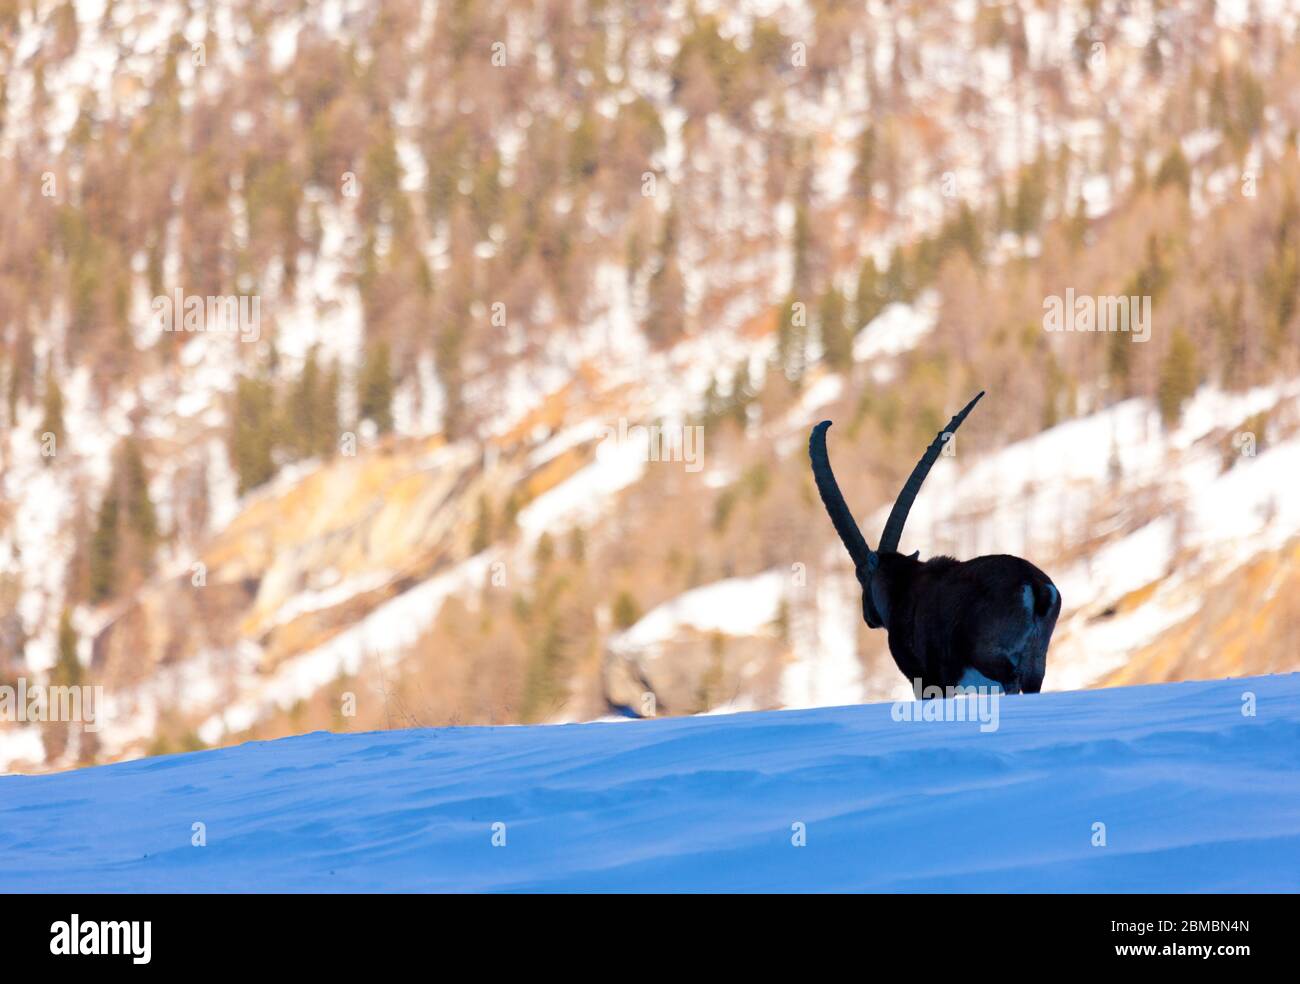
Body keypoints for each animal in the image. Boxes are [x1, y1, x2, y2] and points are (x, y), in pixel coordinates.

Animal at [809, 392, 1061, 695]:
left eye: (861, 577)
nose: (869, 618)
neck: (902, 587)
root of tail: (1035, 586)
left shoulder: (926, 681)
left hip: (990, 656)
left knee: (1009, 679)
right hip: (1036, 663)